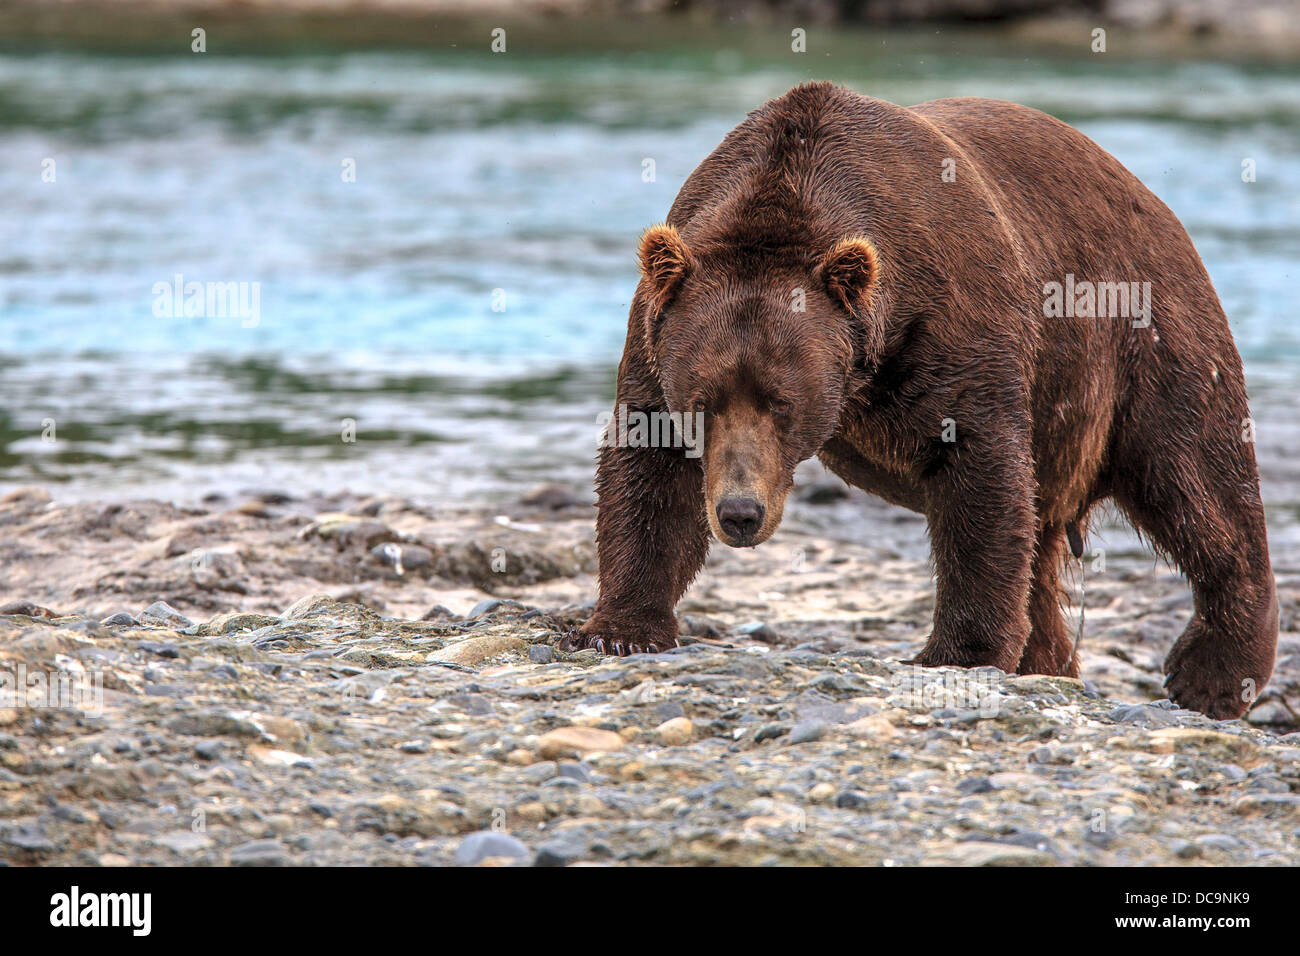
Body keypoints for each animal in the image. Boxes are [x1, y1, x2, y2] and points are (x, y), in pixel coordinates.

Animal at [559, 82, 1278, 720]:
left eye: (782, 403)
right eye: (703, 403)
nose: (740, 512)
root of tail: (1146, 194)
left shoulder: (952, 323)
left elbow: (980, 479)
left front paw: (957, 652)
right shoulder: (658, 331)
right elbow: (648, 474)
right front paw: (619, 626)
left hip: (1139, 331)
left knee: (1194, 478)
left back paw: (1213, 672)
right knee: (1047, 541)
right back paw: (1047, 659)